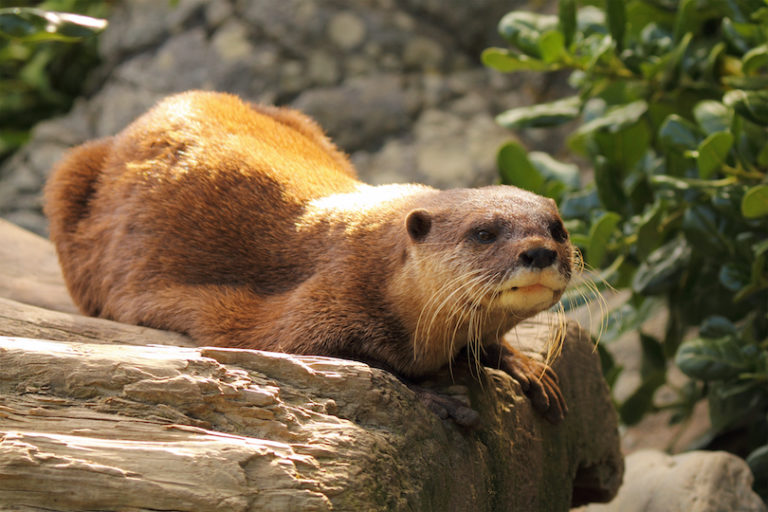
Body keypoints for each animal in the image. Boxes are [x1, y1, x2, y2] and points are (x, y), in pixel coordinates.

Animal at [44, 91, 572, 425]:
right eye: (484, 232)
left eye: (557, 228)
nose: (539, 251)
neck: (380, 273)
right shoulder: (315, 302)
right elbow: (346, 359)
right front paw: (440, 396)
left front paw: (525, 366)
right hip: (70, 177)